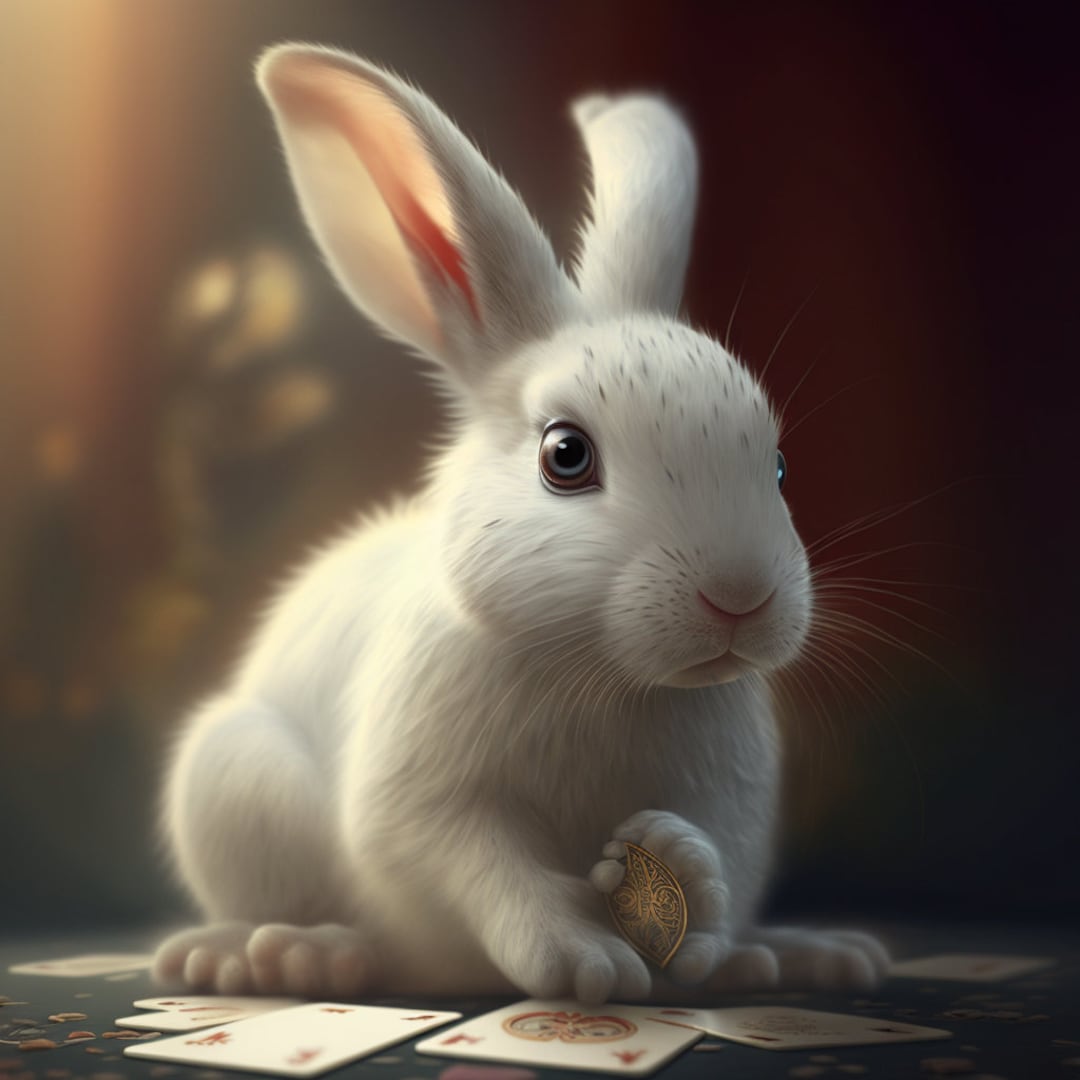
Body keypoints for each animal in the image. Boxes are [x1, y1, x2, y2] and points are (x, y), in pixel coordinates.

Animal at [153, 43, 890, 1005]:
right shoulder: (427, 799)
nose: (741, 598)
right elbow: (482, 865)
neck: (610, 678)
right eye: (565, 456)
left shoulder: (730, 795)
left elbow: (717, 857)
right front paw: (589, 963)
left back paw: (801, 955)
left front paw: (678, 870)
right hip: (231, 778)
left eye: (775, 466)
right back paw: (274, 955)